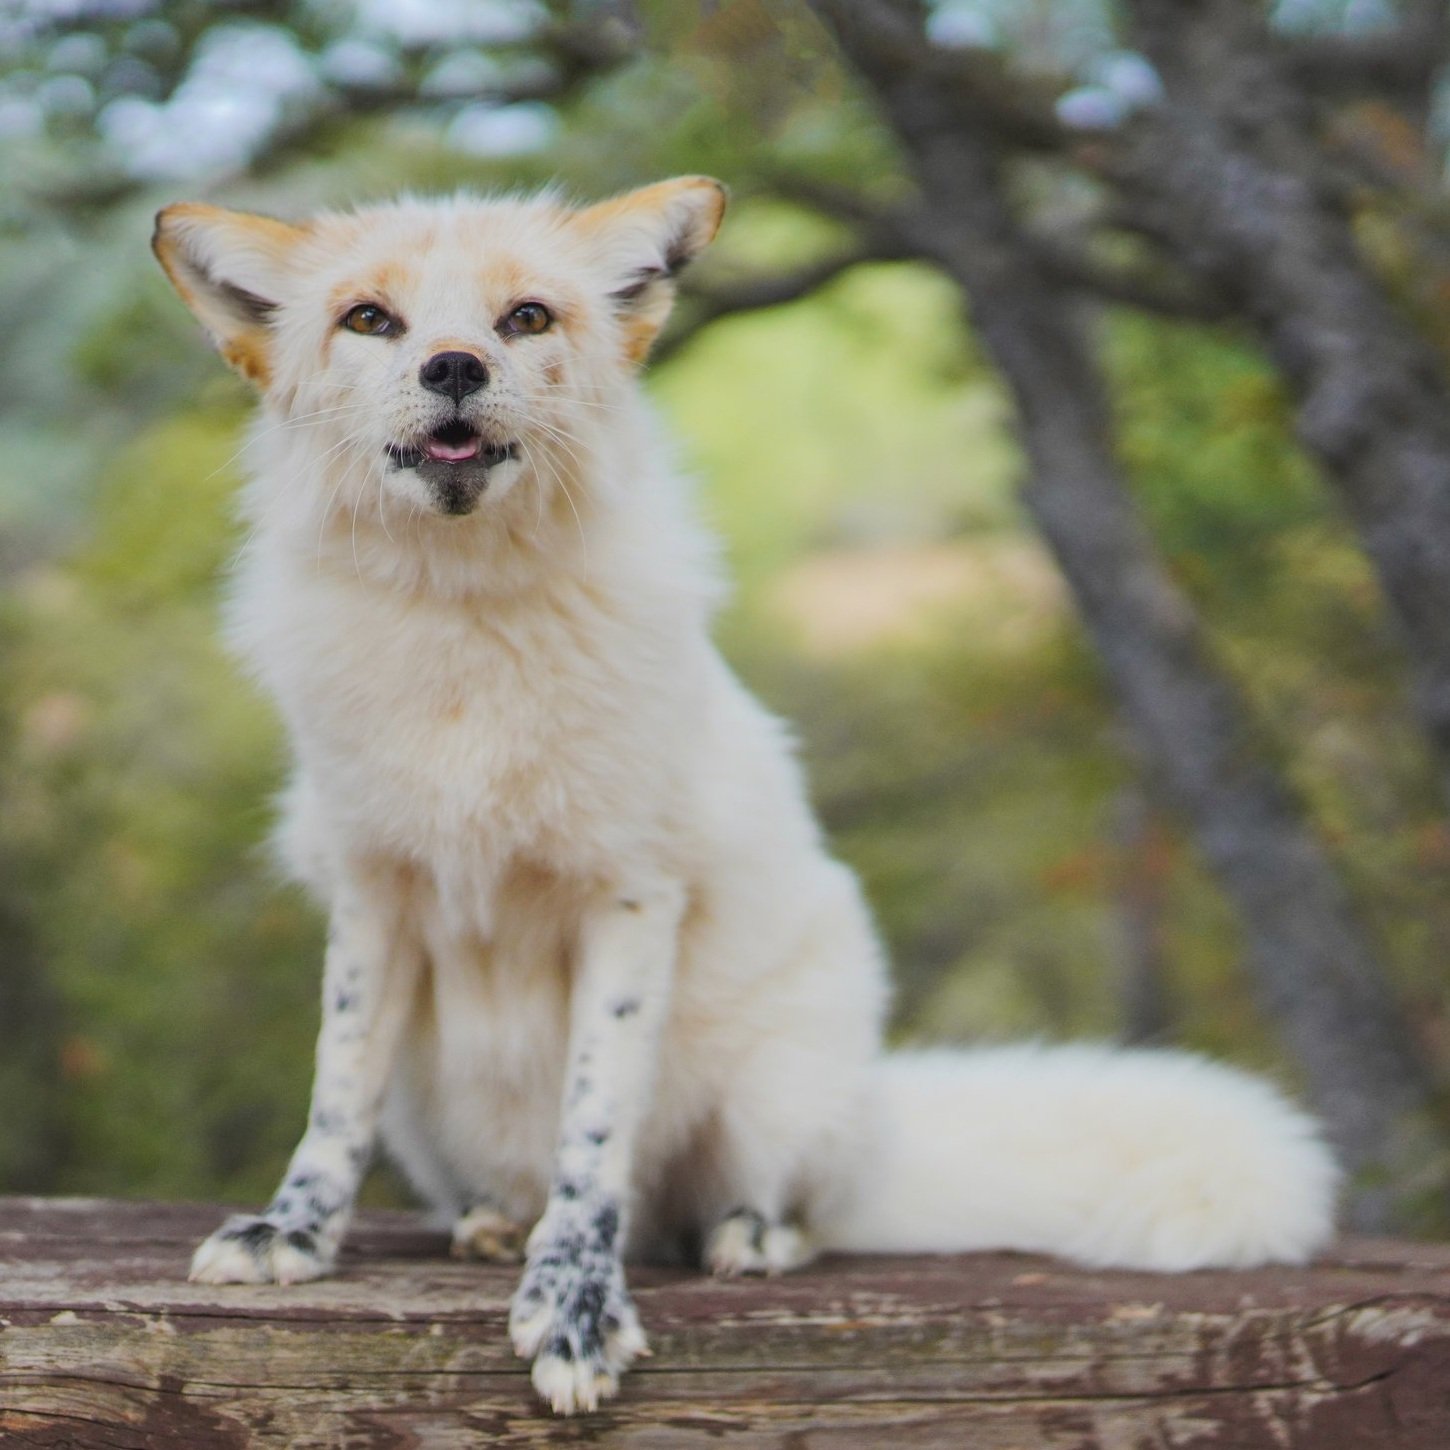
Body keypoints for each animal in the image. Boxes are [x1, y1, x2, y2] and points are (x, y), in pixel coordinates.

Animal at [151, 177, 1338, 1416]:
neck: (462, 641)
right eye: (369, 319)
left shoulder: (630, 897)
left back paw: (744, 1235)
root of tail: (876, 1116)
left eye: (525, 317)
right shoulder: (374, 889)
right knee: (507, 1178)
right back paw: (489, 1224)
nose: (455, 368)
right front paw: (293, 1233)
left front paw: (575, 1303)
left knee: (754, 1213)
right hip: (431, 1106)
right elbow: (333, 1099)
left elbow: (594, 1138)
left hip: (771, 1099)